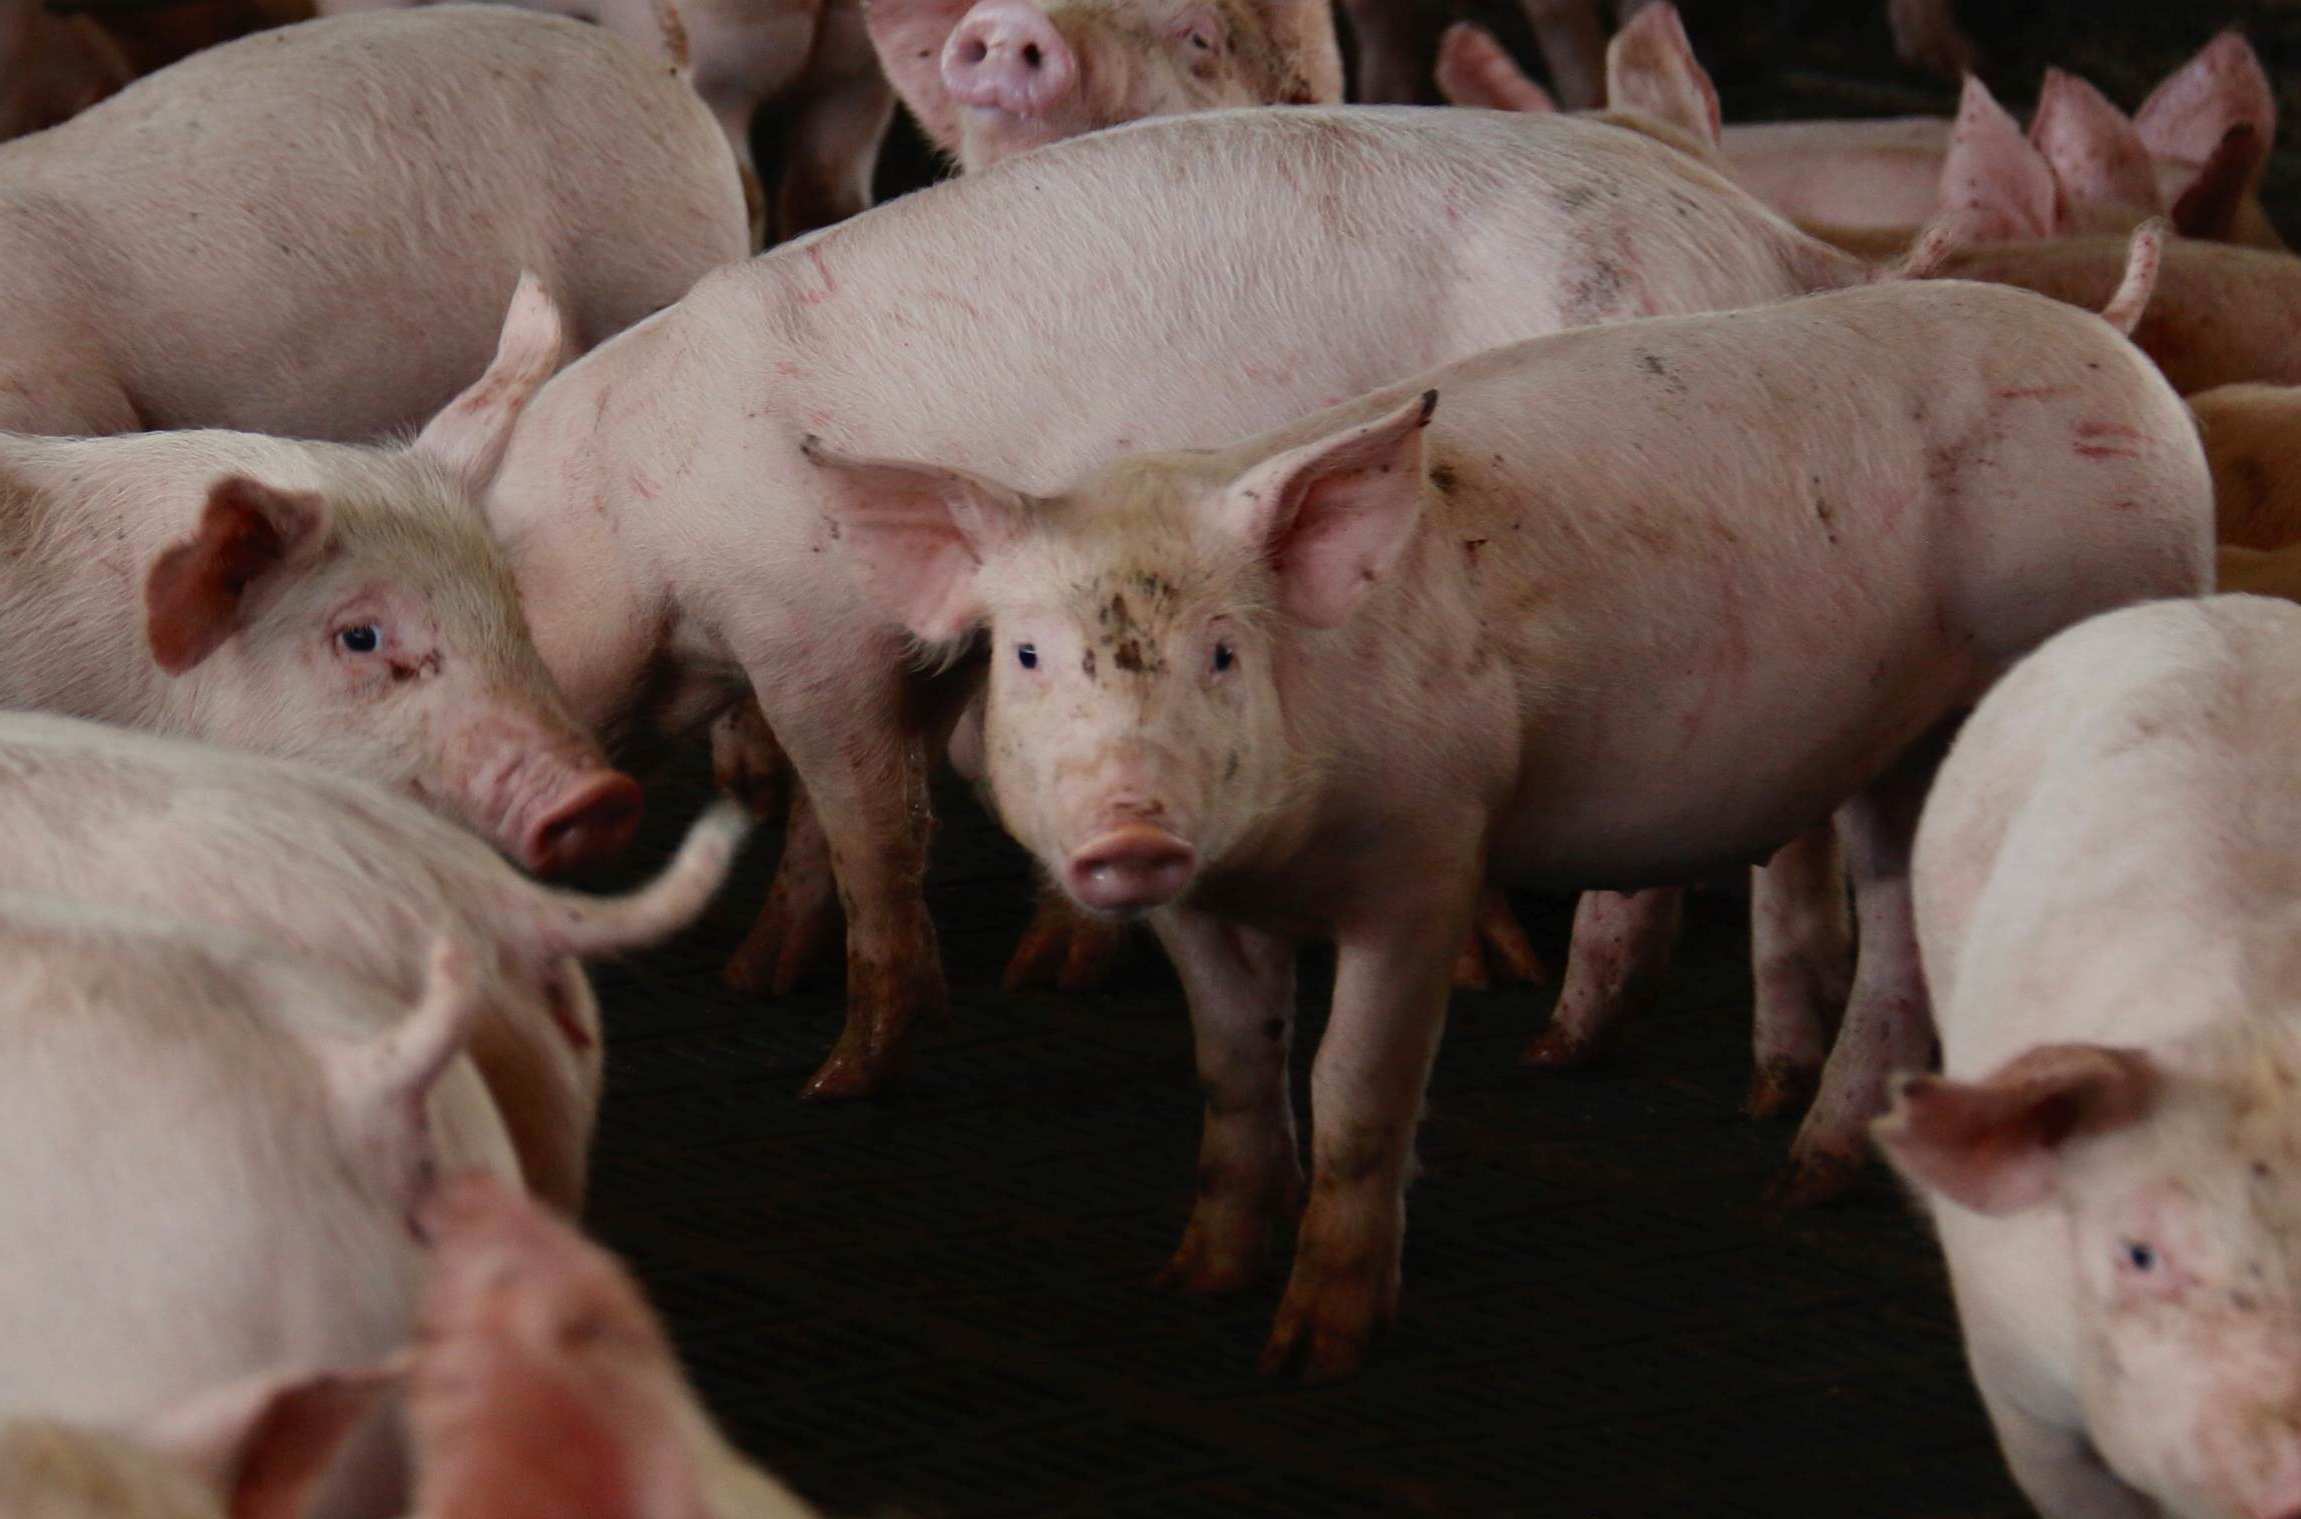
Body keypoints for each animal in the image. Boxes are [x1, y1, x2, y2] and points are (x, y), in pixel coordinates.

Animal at [468, 104, 1878, 1101]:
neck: (633, 514)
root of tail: (1769, 244)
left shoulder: (804, 631)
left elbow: (868, 824)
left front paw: (840, 1077)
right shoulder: (919, 635)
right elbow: (854, 816)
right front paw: (760, 980)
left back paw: (1579, 1047)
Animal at [809, 261, 2209, 1374]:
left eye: (1221, 651)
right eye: (1029, 655)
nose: (1129, 830)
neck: (1278, 863)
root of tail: (2111, 342)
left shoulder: (1431, 849)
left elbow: (1356, 1081)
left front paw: (1310, 1353)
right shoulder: (1202, 905)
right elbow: (1233, 1065)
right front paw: (1194, 1279)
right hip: (1902, 744)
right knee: (1903, 923)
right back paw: (1798, 1183)